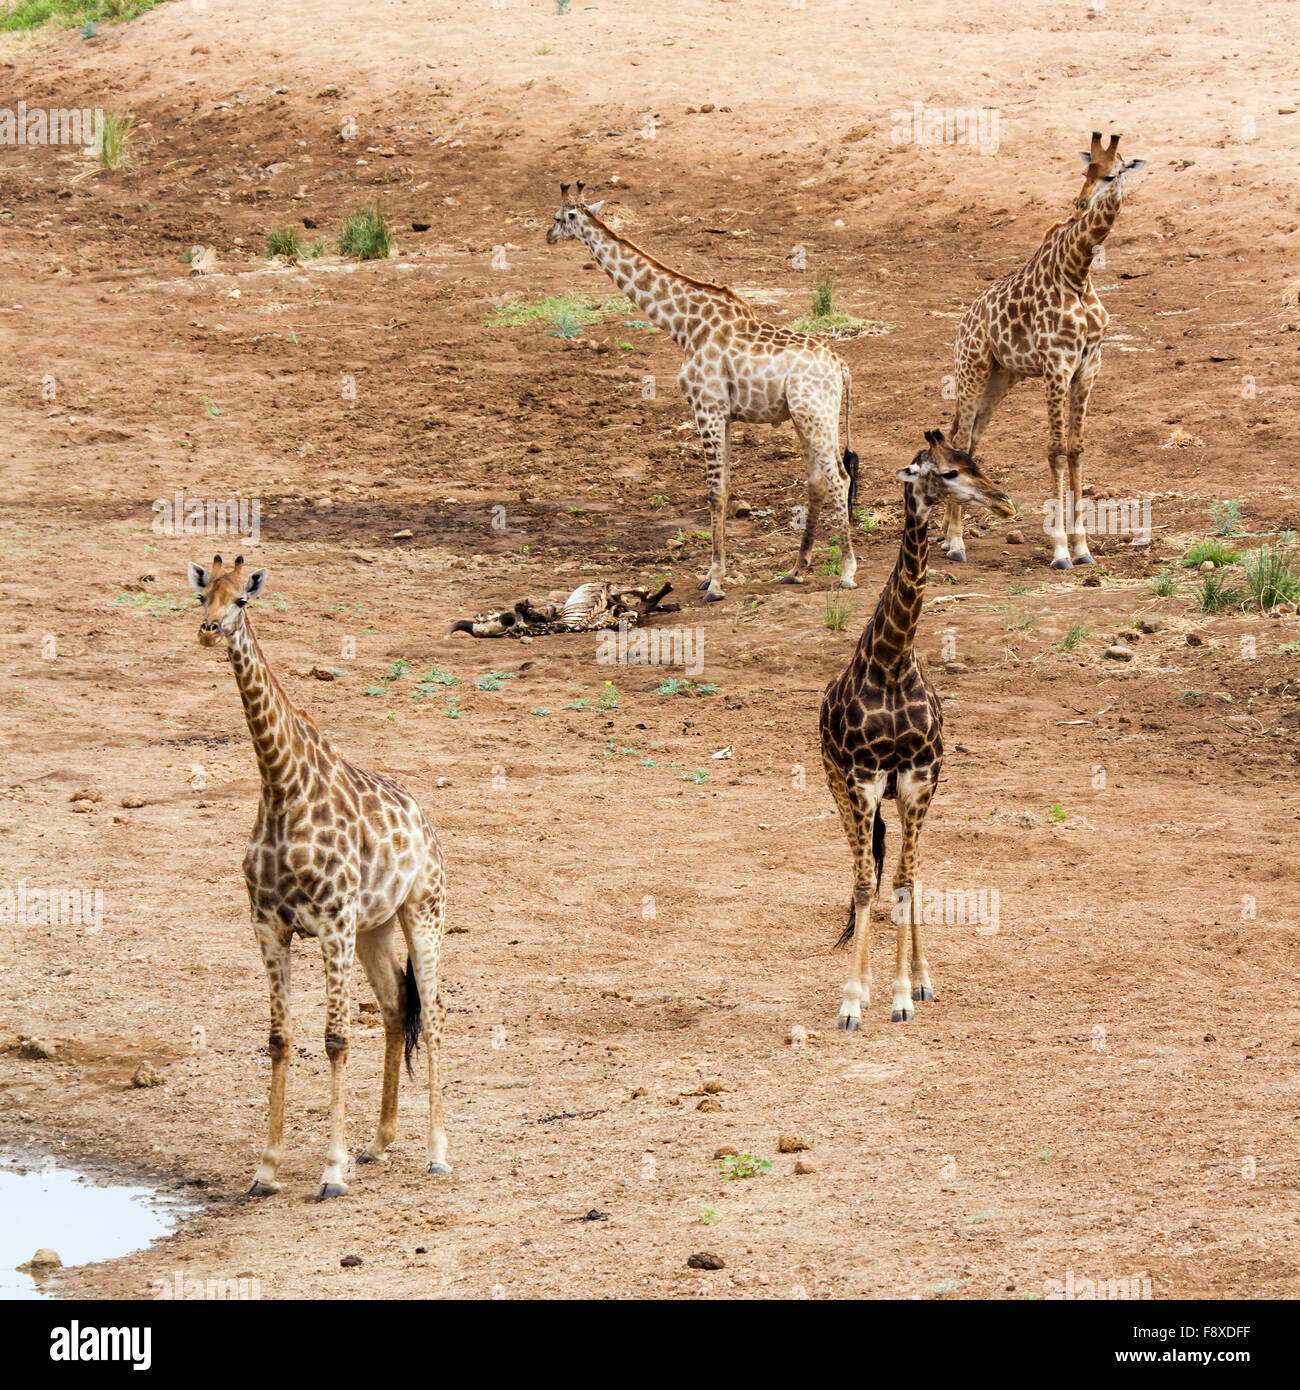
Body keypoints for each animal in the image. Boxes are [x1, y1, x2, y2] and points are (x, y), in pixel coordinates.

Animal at [187, 554, 451, 1200]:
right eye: (203, 596)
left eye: (242, 601)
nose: (209, 631)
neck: (281, 786)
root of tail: (426, 822)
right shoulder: (268, 925)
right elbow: (280, 1039)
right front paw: (266, 1170)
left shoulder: (331, 922)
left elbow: (334, 1039)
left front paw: (331, 1172)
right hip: (374, 928)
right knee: (394, 1006)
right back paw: (378, 1143)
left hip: (423, 911)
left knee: (432, 1014)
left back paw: (436, 1153)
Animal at [546, 181, 859, 602]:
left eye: (559, 217)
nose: (548, 236)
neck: (682, 325)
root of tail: (842, 368)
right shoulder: (723, 414)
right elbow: (724, 487)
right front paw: (712, 575)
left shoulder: (706, 407)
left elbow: (713, 491)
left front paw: (715, 583)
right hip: (804, 418)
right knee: (817, 482)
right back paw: (795, 570)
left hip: (816, 415)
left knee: (838, 479)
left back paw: (847, 571)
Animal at [820, 431, 1013, 1028]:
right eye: (948, 473)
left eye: (974, 463)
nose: (1005, 502)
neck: (891, 659)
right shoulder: (861, 779)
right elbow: (866, 884)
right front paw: (853, 1000)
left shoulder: (919, 777)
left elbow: (906, 883)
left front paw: (905, 993)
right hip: (835, 784)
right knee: (861, 870)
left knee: (910, 871)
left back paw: (923, 980)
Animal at [945, 132, 1146, 569]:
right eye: (1086, 171)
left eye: (1112, 174)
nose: (1081, 204)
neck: (1077, 274)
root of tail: (966, 318)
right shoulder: (1057, 366)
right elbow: (1054, 450)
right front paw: (1060, 550)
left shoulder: (1088, 367)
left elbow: (1076, 449)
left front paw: (1084, 547)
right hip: (972, 369)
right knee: (961, 442)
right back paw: (955, 543)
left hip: (1001, 378)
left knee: (968, 443)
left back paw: (948, 537)